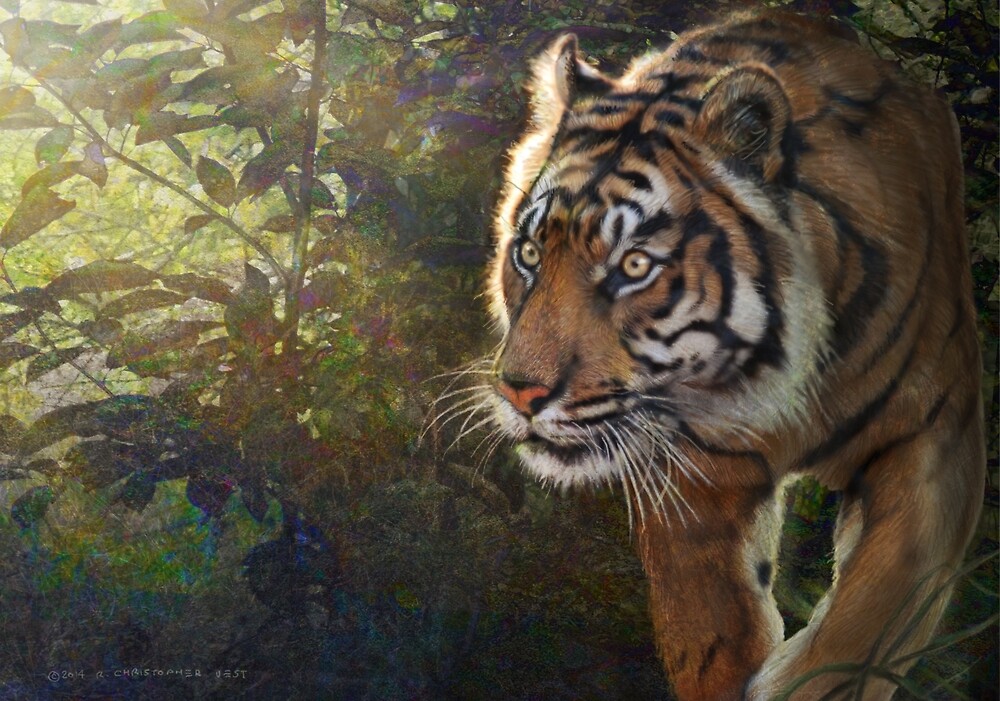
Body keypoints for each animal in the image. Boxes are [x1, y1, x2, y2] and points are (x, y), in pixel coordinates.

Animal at [478, 10, 985, 701]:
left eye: (634, 266)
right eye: (529, 254)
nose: (520, 392)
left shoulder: (932, 435)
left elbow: (869, 615)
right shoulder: (698, 473)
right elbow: (714, 634)